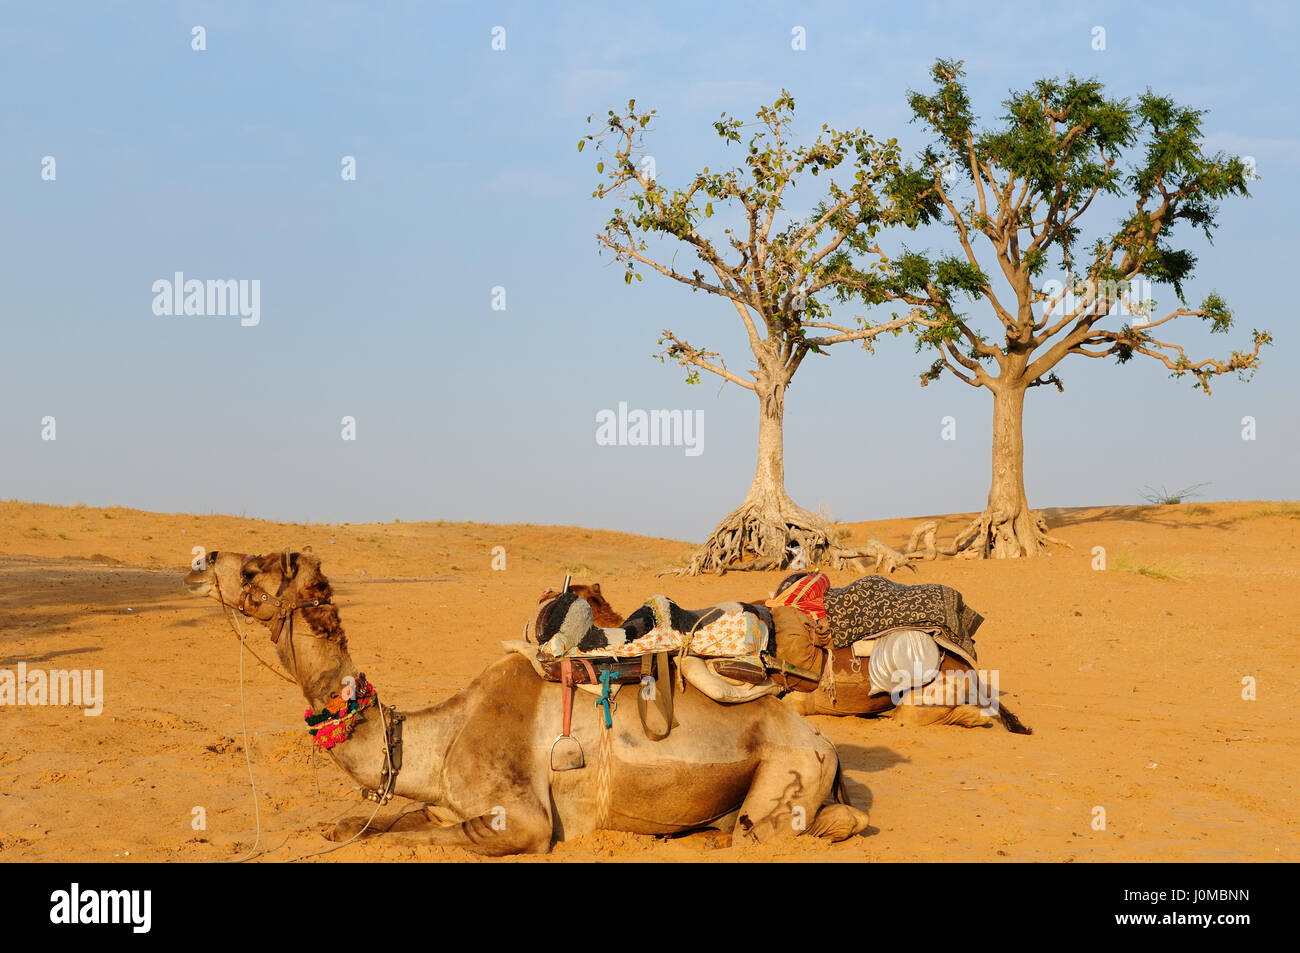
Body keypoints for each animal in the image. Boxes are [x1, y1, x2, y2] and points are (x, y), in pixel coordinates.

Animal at [185, 549, 870, 856]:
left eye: (255, 570)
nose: (205, 559)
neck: (436, 740)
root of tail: (825, 745)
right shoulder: (437, 798)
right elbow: (372, 824)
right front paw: (338, 827)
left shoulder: (520, 819)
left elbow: (437, 838)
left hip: (787, 775)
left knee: (780, 830)